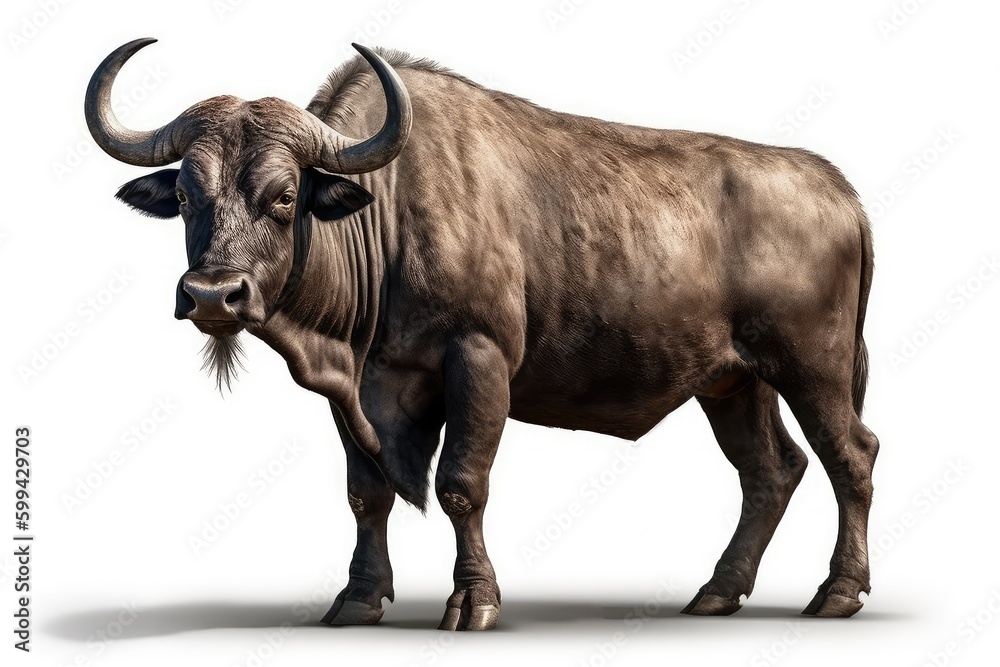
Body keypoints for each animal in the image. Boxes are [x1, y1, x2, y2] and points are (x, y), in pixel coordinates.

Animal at [86, 38, 879, 630]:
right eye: (185, 193)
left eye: (284, 196)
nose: (212, 294)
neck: (385, 214)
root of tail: (838, 189)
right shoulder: (353, 392)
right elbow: (366, 491)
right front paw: (357, 600)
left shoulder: (478, 362)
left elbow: (462, 484)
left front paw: (473, 602)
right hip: (733, 381)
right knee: (770, 469)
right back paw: (716, 593)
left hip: (813, 369)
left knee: (851, 456)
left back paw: (836, 594)